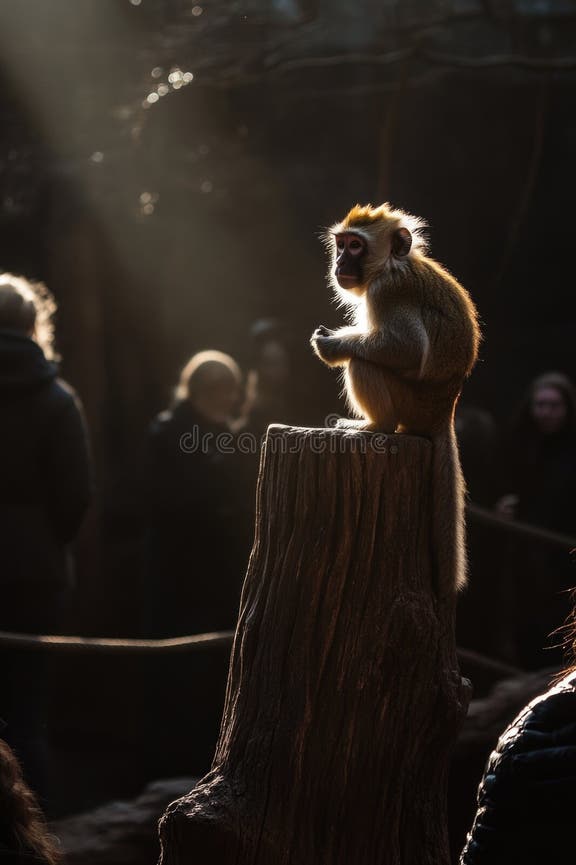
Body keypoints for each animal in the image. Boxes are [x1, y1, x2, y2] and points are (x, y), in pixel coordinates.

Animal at [310, 203, 481, 596]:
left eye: (356, 245)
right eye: (340, 244)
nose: (340, 261)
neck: (390, 265)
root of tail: (444, 410)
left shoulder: (387, 292)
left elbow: (408, 349)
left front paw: (332, 344)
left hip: (410, 403)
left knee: (362, 362)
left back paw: (376, 425)